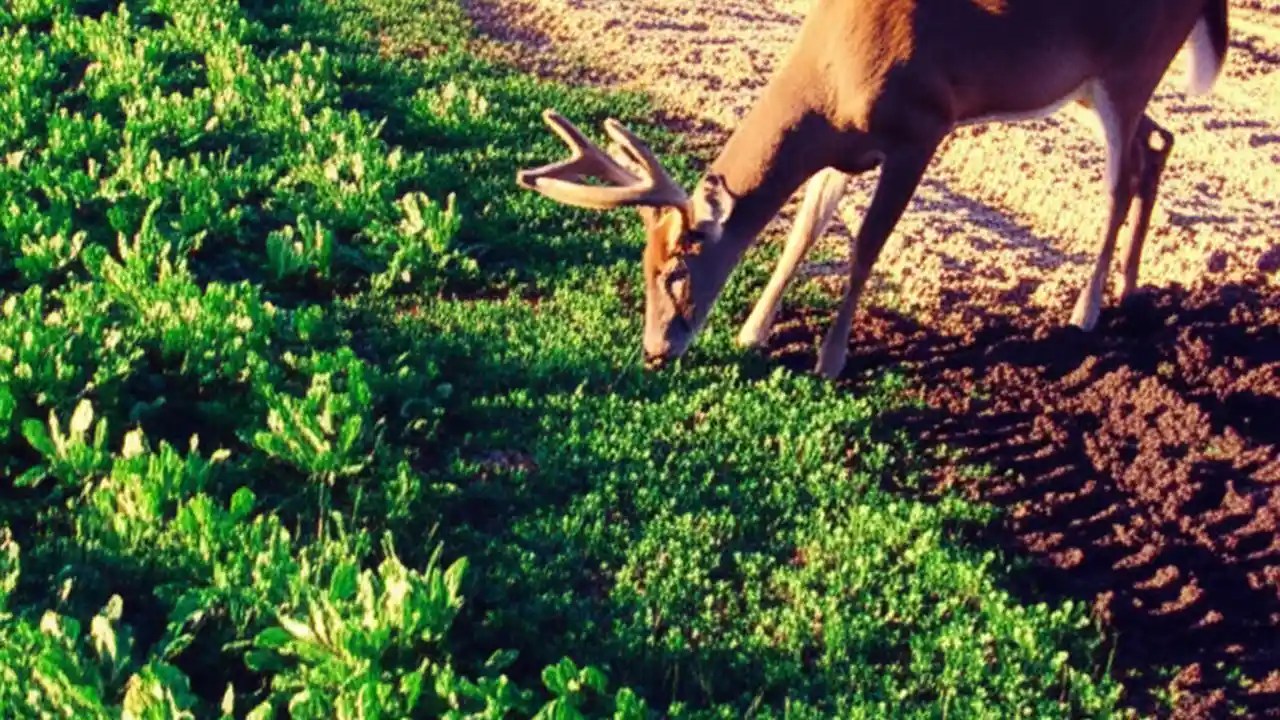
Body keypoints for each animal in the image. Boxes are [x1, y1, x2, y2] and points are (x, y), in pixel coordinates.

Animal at [517, 0, 1229, 379]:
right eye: (644, 266)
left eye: (676, 271)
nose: (656, 351)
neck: (832, 78)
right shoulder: (843, 147)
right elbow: (803, 232)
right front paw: (753, 331)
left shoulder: (923, 126)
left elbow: (865, 243)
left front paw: (830, 359)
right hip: (1086, 88)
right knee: (1158, 145)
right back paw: (1130, 289)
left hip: (1128, 70)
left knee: (1118, 181)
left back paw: (1087, 311)